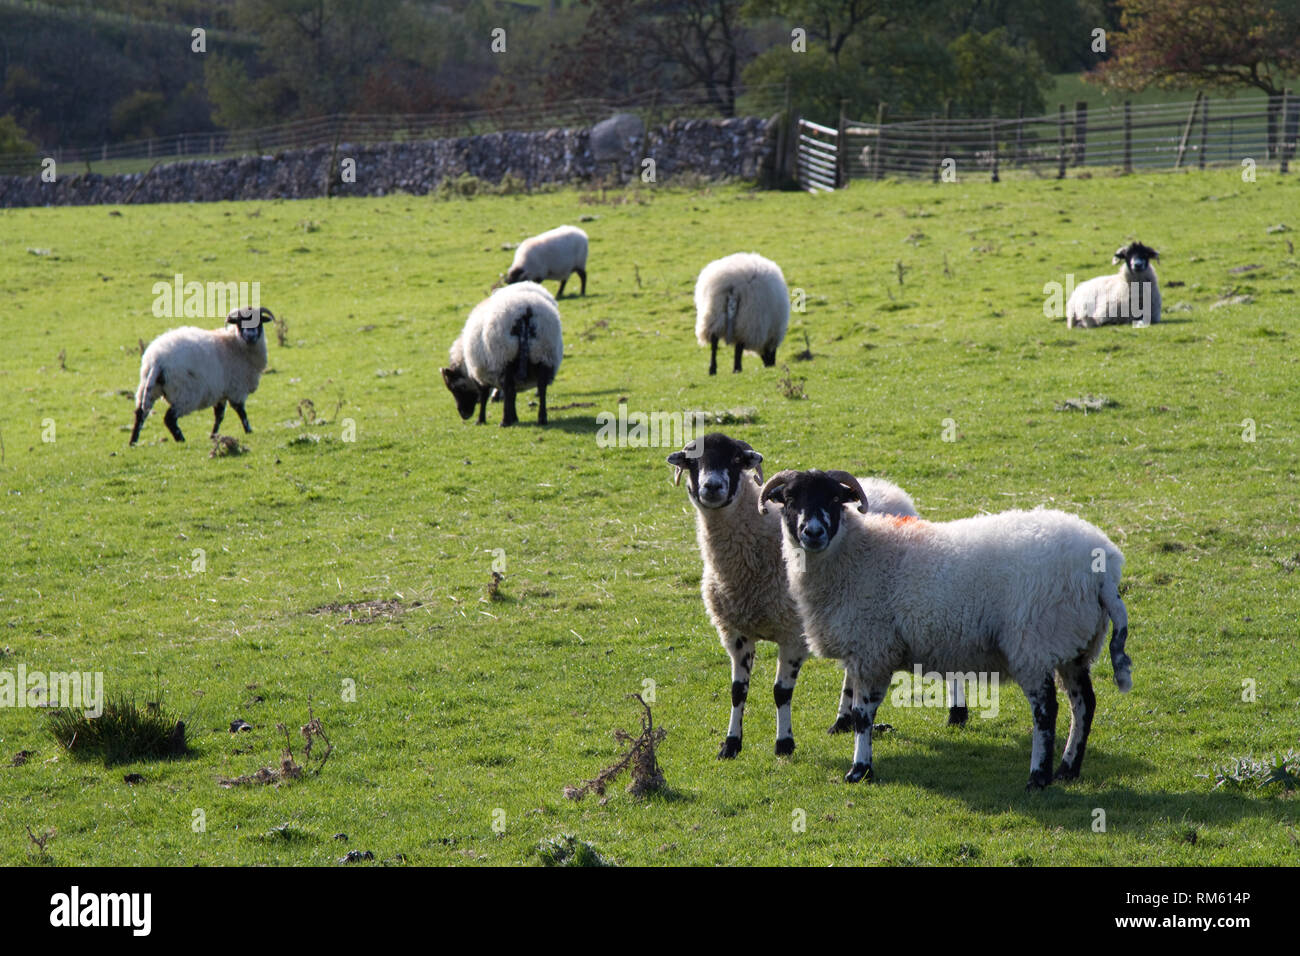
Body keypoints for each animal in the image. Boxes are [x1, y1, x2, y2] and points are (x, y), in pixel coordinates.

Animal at [129, 306, 274, 446]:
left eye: (259, 321)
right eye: (240, 322)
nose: (250, 336)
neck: (236, 344)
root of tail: (156, 360)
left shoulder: (221, 392)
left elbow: (219, 415)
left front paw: (214, 436)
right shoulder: (236, 390)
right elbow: (241, 413)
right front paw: (249, 431)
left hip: (149, 388)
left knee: (140, 414)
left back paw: (133, 442)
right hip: (184, 394)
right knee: (169, 418)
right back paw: (181, 440)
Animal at [442, 281, 562, 427]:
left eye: (455, 388)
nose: (464, 414)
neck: (465, 364)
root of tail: (526, 312)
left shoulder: (480, 374)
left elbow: (484, 395)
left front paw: (480, 420)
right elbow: (513, 394)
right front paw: (515, 417)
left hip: (504, 356)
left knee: (508, 387)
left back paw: (504, 421)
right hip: (544, 354)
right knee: (541, 387)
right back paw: (541, 419)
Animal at [666, 432, 963, 760]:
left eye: (735, 459)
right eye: (693, 461)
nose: (712, 487)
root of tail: (890, 488)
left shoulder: (793, 634)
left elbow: (781, 692)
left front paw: (784, 744)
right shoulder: (736, 633)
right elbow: (737, 691)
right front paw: (731, 744)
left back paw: (956, 714)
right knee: (851, 672)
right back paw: (843, 721)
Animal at [758, 469, 1131, 790]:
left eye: (835, 499)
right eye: (789, 499)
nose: (813, 532)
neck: (858, 553)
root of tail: (1104, 569)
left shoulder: (873, 649)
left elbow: (863, 716)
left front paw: (859, 769)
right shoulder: (867, 652)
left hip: (1034, 642)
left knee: (1046, 711)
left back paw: (1038, 777)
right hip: (1074, 645)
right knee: (1084, 704)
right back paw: (1068, 769)